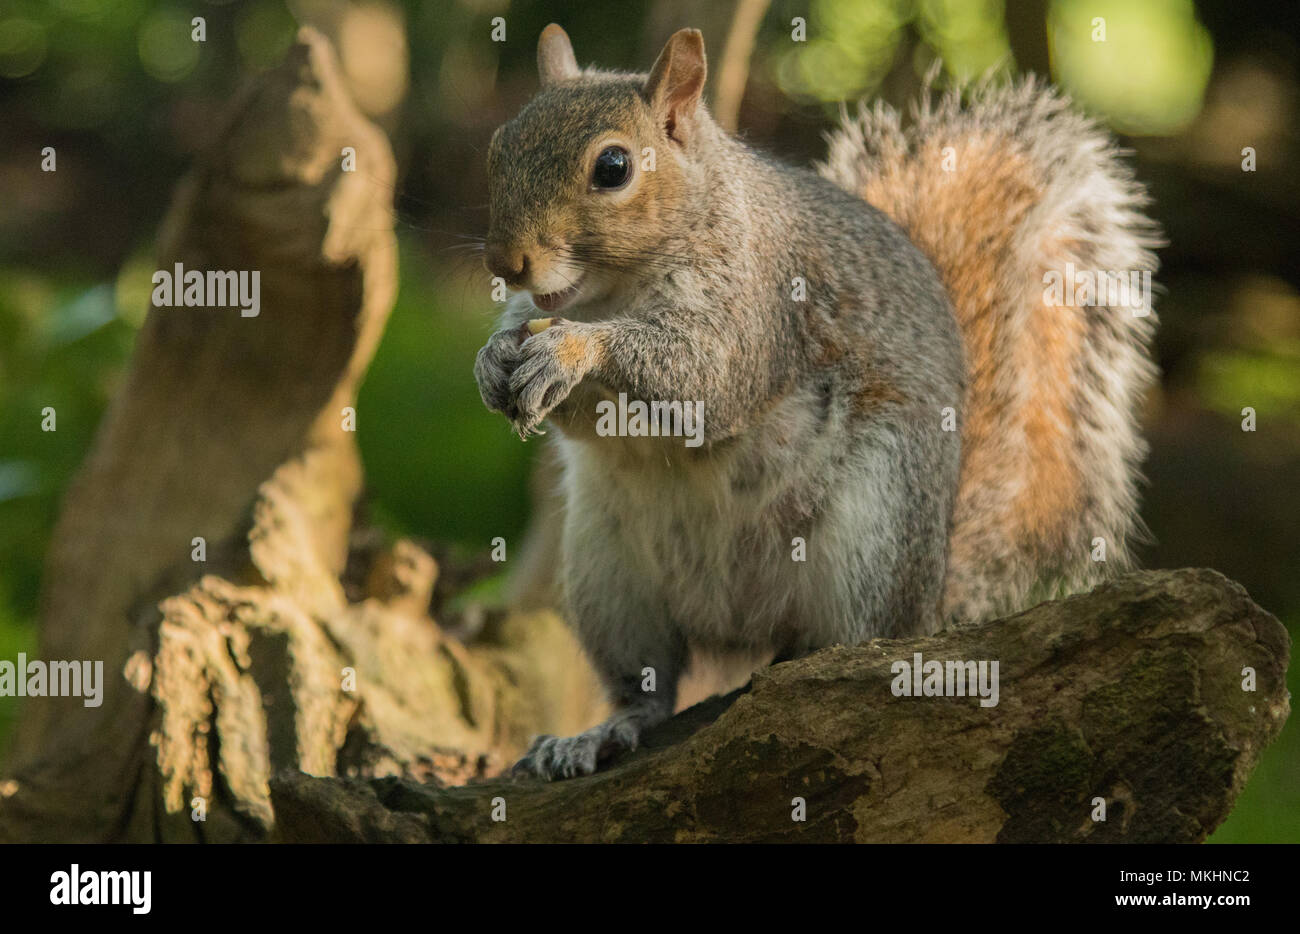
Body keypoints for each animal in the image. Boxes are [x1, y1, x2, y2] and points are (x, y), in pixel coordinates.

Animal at [474, 24, 1160, 781]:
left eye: (614, 168)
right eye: (498, 147)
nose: (505, 262)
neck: (611, 291)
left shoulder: (758, 307)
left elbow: (702, 379)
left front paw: (573, 351)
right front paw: (492, 360)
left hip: (873, 533)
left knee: (856, 642)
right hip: (609, 577)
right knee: (648, 687)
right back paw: (599, 733)